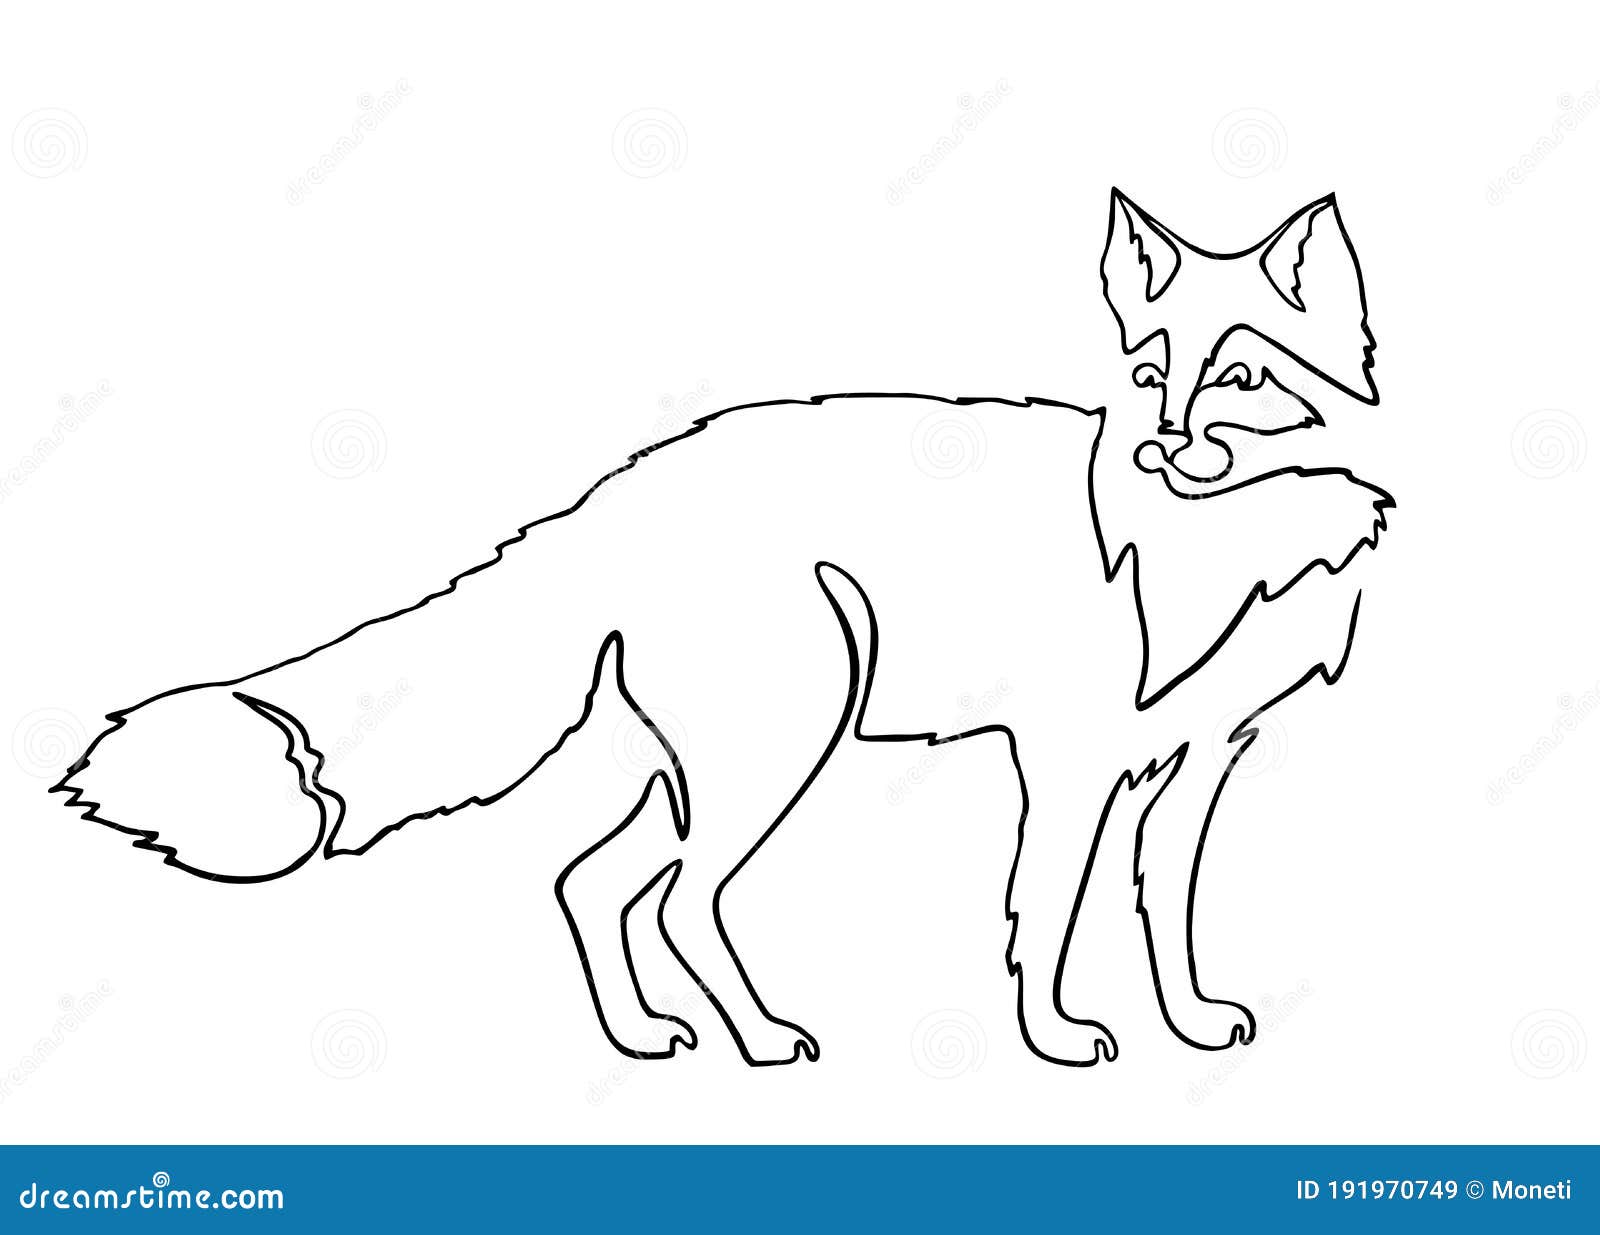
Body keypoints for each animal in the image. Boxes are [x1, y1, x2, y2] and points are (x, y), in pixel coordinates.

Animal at [54, 188, 1394, 1067]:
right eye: (1150, 374)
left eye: (1237, 378)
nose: (1160, 446)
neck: (1213, 558)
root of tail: (621, 487)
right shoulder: (1067, 764)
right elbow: (1048, 912)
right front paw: (1056, 1038)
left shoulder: (1202, 760)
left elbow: (1166, 904)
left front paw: (1193, 1025)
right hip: (778, 759)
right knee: (679, 900)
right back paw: (756, 1036)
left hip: (692, 774)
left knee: (587, 882)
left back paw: (645, 1034)